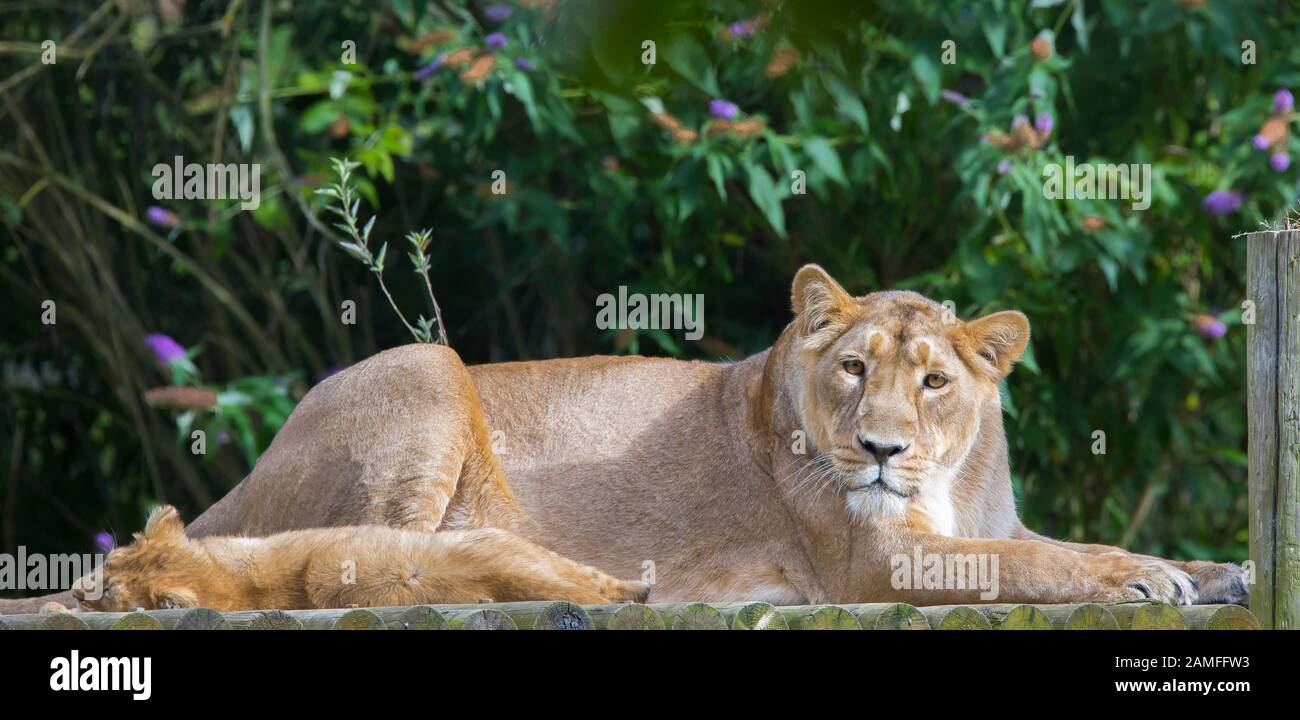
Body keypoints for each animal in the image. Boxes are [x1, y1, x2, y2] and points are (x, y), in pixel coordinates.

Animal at [4, 264, 1247, 613]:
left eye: (935, 382)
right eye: (853, 373)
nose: (881, 452)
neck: (947, 478)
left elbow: (1061, 543)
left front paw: (1215, 569)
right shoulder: (877, 562)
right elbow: (1051, 563)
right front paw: (1143, 581)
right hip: (423, 368)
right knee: (364, 563)